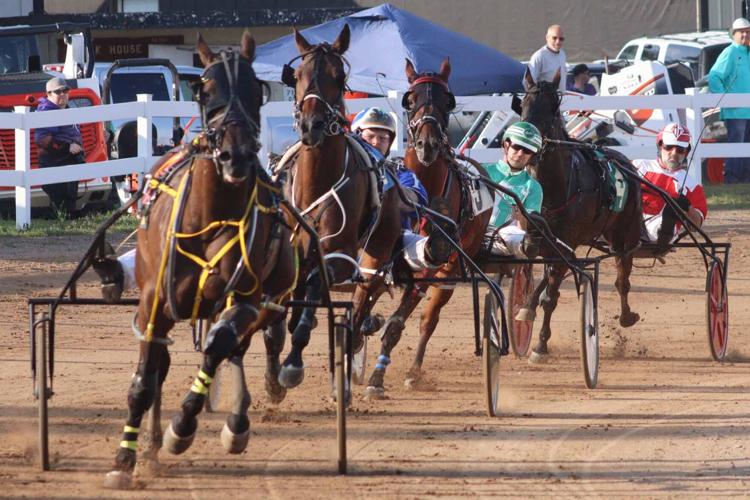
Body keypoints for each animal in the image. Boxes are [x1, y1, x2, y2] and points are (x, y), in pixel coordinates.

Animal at [104, 32, 298, 489]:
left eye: (255, 91)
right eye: (205, 90)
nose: (235, 156)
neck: (211, 215)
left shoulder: (244, 299)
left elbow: (218, 346)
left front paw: (182, 429)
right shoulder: (155, 301)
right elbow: (145, 379)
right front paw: (126, 457)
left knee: (236, 347)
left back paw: (234, 423)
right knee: (161, 364)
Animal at [274, 25, 404, 390]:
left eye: (339, 75)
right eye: (297, 76)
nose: (312, 125)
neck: (317, 183)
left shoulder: (338, 255)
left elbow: (315, 290)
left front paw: (292, 363)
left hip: (379, 247)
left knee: (366, 293)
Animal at [364, 58, 493, 398]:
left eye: (448, 101)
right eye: (410, 100)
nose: (428, 145)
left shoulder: (429, 265)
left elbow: (396, 324)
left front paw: (376, 377)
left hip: (451, 268)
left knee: (428, 319)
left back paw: (413, 371)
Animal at [519, 70, 643, 361]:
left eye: (553, 108)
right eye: (523, 104)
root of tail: (625, 163)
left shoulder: (566, 242)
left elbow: (551, 297)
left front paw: (540, 345)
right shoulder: (538, 237)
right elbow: (535, 262)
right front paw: (527, 306)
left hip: (625, 236)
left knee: (622, 277)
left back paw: (626, 316)